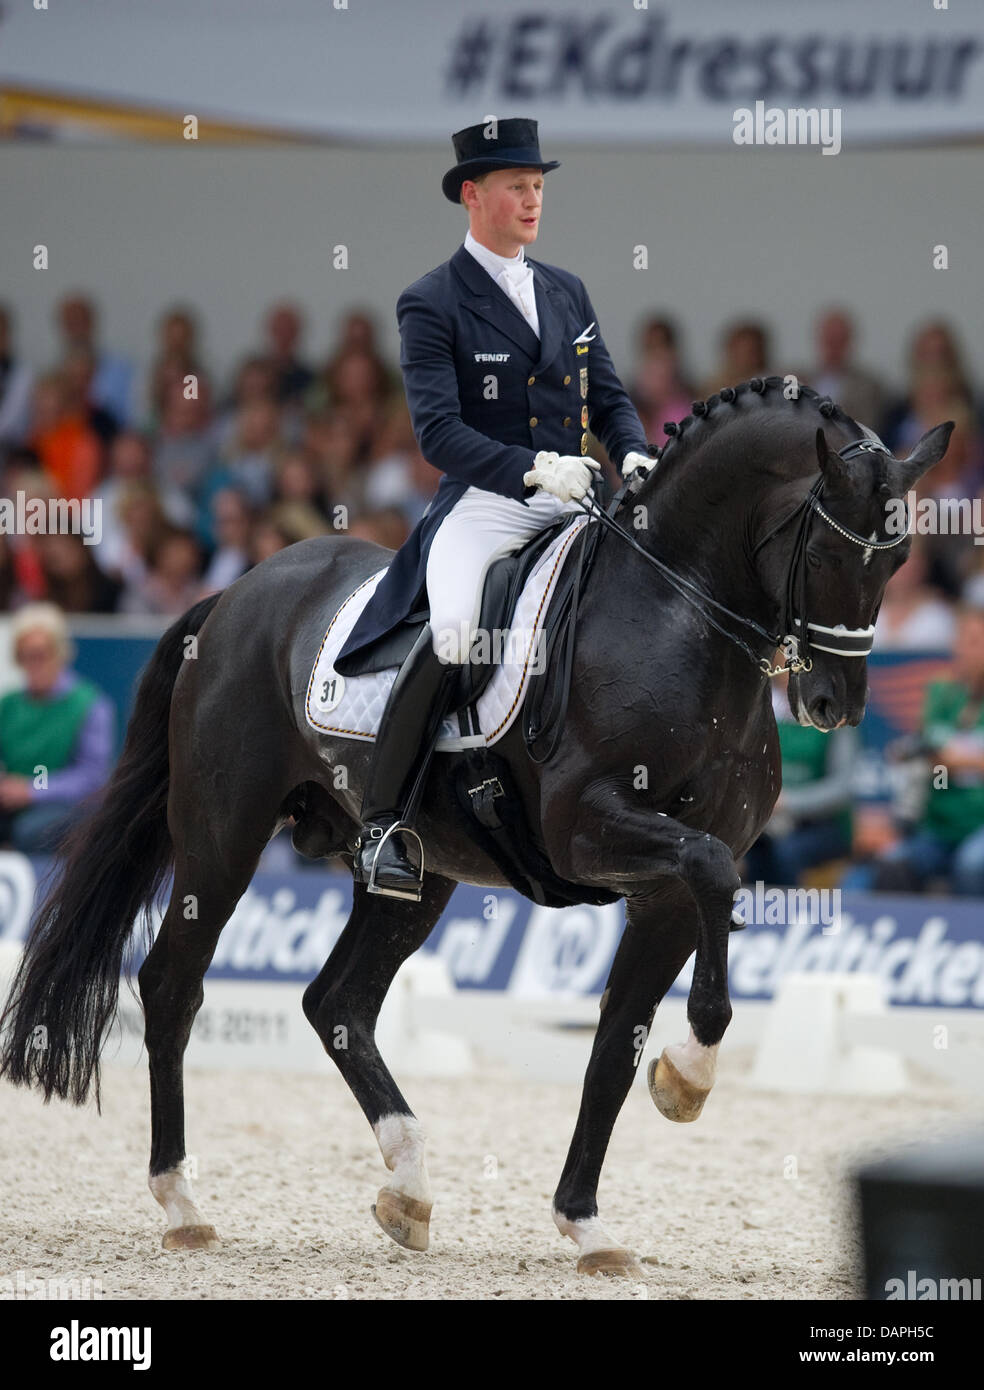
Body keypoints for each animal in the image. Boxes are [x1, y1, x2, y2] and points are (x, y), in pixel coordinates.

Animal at [0, 378, 950, 1276]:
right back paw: (182, 1204)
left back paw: (408, 1189)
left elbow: (618, 1036)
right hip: (221, 833)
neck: (678, 622)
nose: (832, 703)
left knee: (337, 1002)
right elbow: (713, 873)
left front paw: (589, 1221)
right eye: (824, 548)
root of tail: (236, 592)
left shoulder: (661, 893)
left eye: (902, 557)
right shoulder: (590, 831)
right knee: (172, 985)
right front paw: (686, 1080)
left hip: (417, 872)